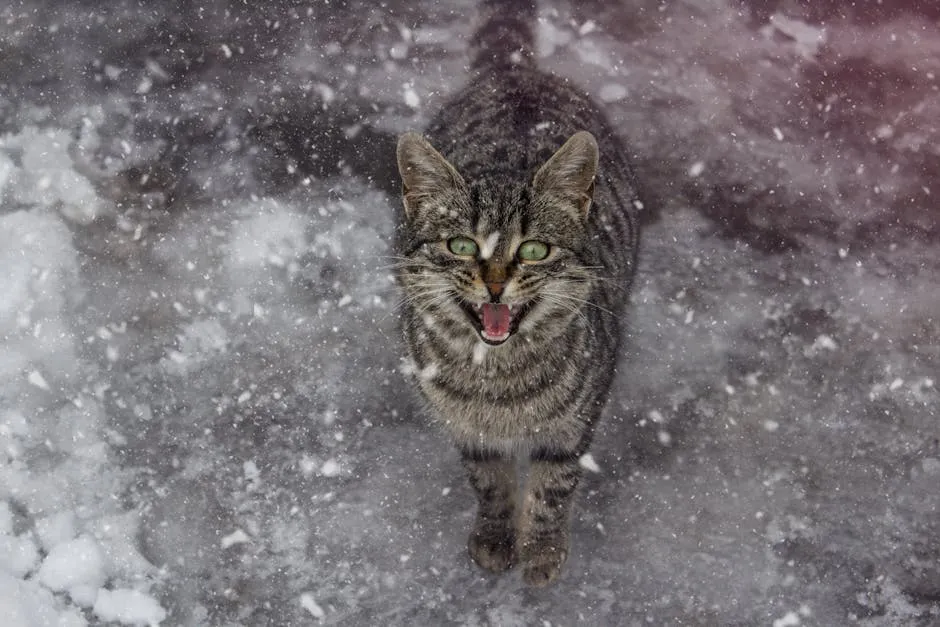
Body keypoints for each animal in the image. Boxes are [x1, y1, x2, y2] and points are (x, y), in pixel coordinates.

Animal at [392, 1, 644, 588]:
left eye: (533, 249)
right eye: (461, 245)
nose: (495, 281)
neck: (498, 383)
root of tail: (515, 73)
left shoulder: (575, 421)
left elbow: (554, 485)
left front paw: (542, 549)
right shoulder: (468, 431)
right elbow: (489, 482)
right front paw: (494, 536)